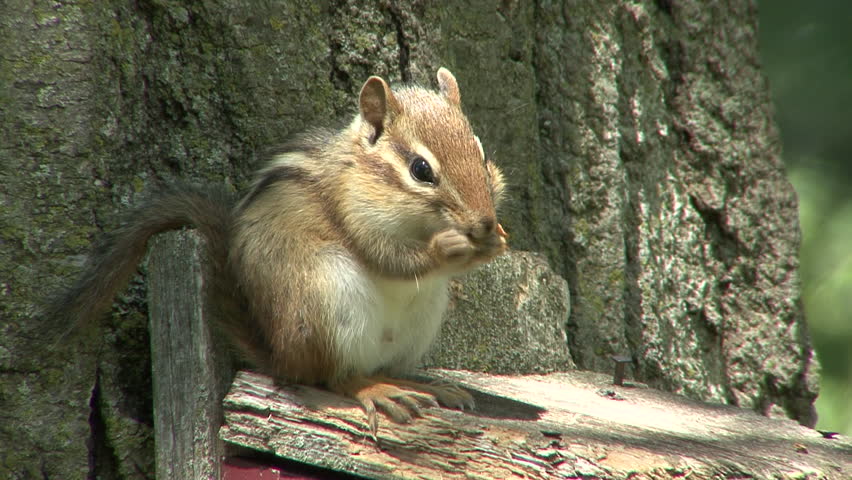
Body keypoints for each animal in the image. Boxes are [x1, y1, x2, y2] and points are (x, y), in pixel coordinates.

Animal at [46, 68, 507, 435]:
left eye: (481, 152)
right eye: (421, 170)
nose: (483, 222)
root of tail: (280, 357)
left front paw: (497, 239)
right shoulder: (353, 214)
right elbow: (389, 258)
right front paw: (450, 246)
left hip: (420, 318)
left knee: (382, 367)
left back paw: (426, 385)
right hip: (328, 299)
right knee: (334, 378)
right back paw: (376, 389)